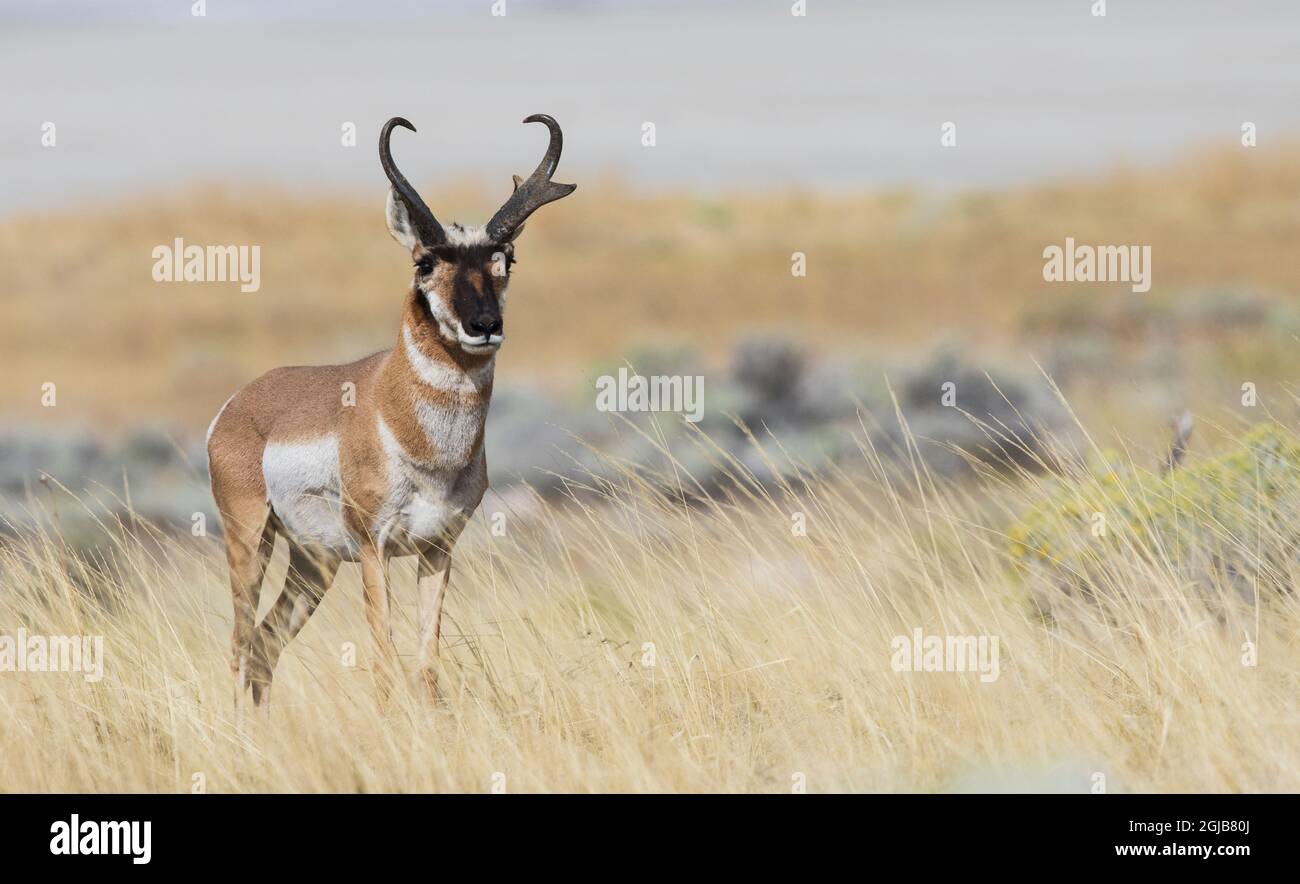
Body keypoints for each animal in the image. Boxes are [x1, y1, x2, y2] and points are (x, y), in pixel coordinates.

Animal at [206, 114, 576, 710]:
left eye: (506, 260)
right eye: (425, 262)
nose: (484, 325)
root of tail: (238, 403)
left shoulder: (438, 550)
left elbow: (427, 663)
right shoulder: (374, 549)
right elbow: (383, 660)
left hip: (314, 563)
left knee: (263, 644)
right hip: (251, 538)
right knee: (240, 643)